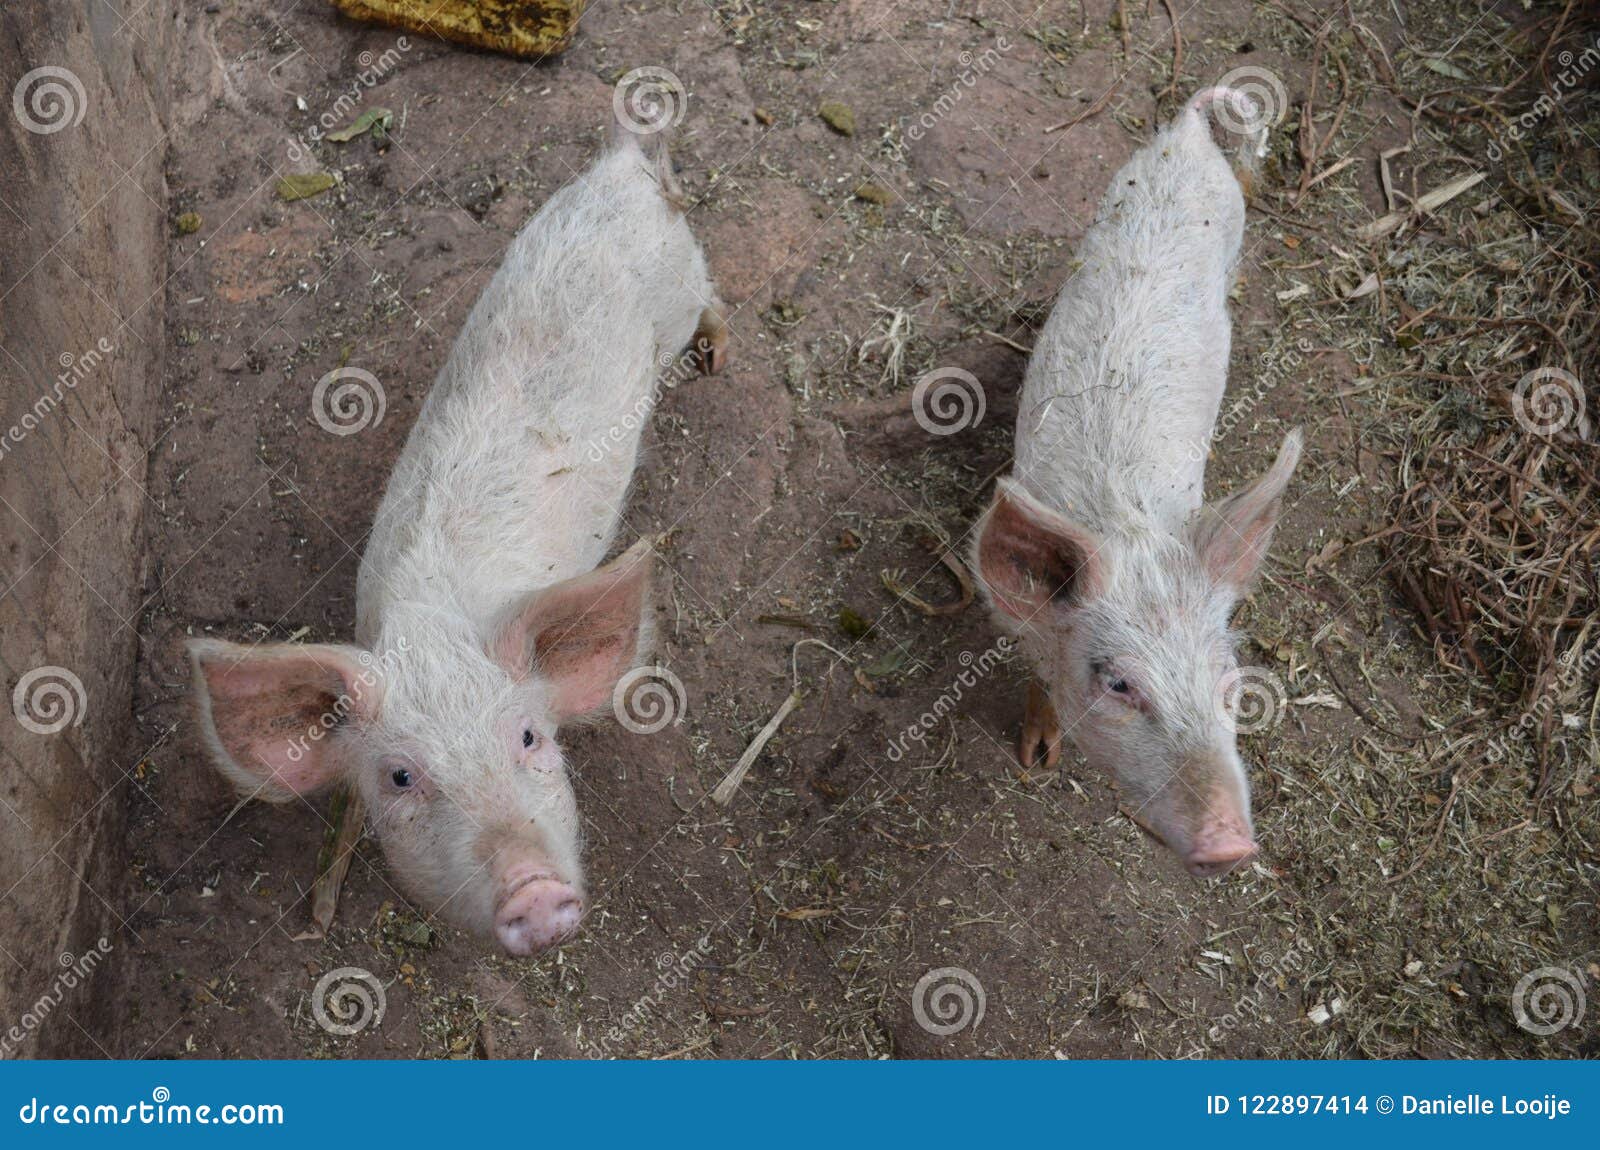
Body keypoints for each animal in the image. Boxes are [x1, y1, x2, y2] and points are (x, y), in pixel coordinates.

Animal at [189, 122, 726, 954]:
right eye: (401, 777)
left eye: (530, 738)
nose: (535, 895)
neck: (430, 623)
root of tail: (624, 167)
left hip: (682, 278)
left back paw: (720, 357)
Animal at [972, 87, 1302, 877]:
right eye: (1120, 684)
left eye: (1229, 682)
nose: (1233, 844)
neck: (1125, 525)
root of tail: (1190, 130)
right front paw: (1037, 758)